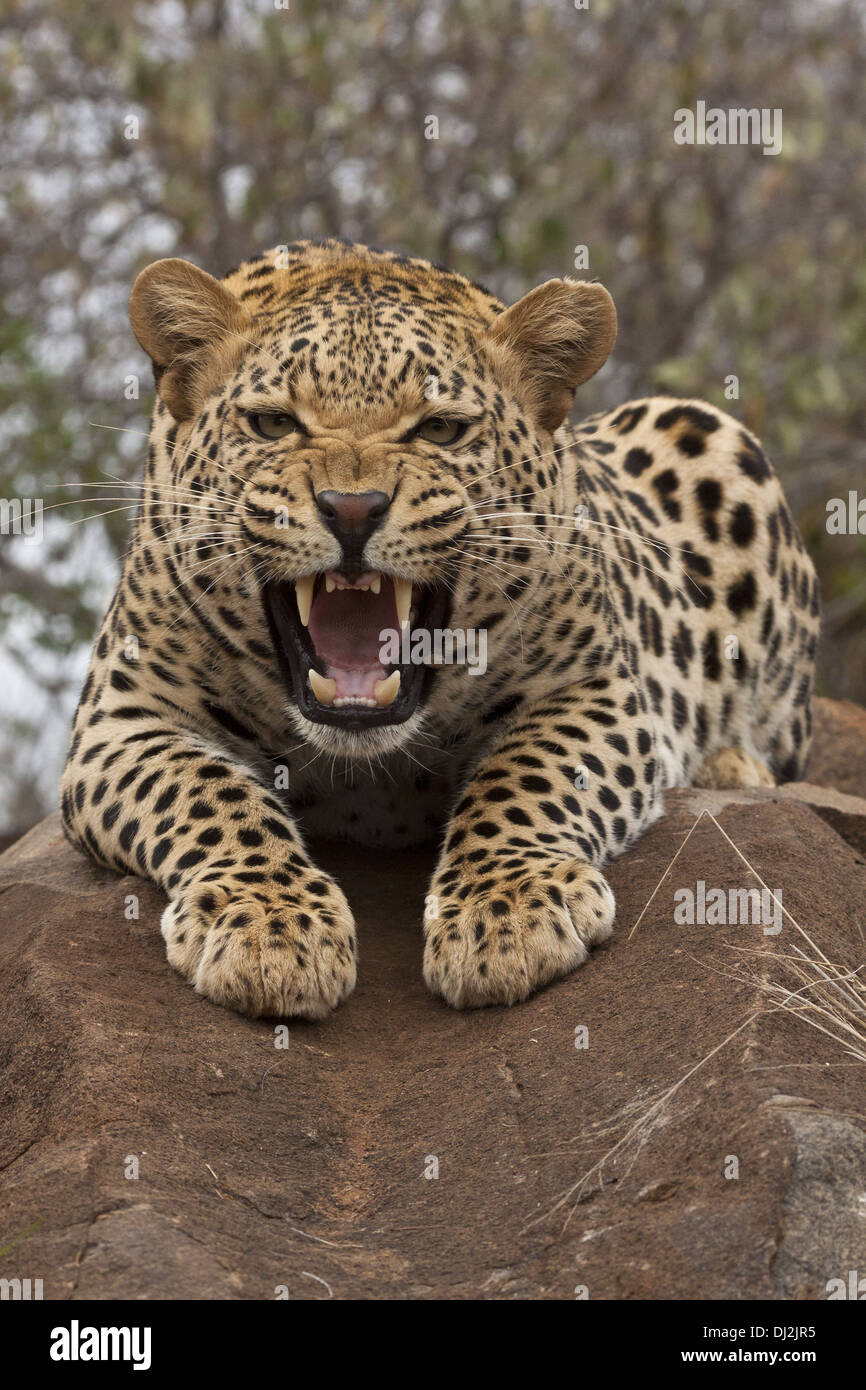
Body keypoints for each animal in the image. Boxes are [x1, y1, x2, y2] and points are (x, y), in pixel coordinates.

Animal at [60, 239, 820, 1019]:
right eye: (274, 424)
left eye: (440, 429)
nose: (353, 508)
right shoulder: (124, 719)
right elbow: (208, 793)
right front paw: (270, 925)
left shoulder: (595, 690)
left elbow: (527, 775)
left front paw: (508, 912)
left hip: (710, 434)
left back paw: (733, 766)